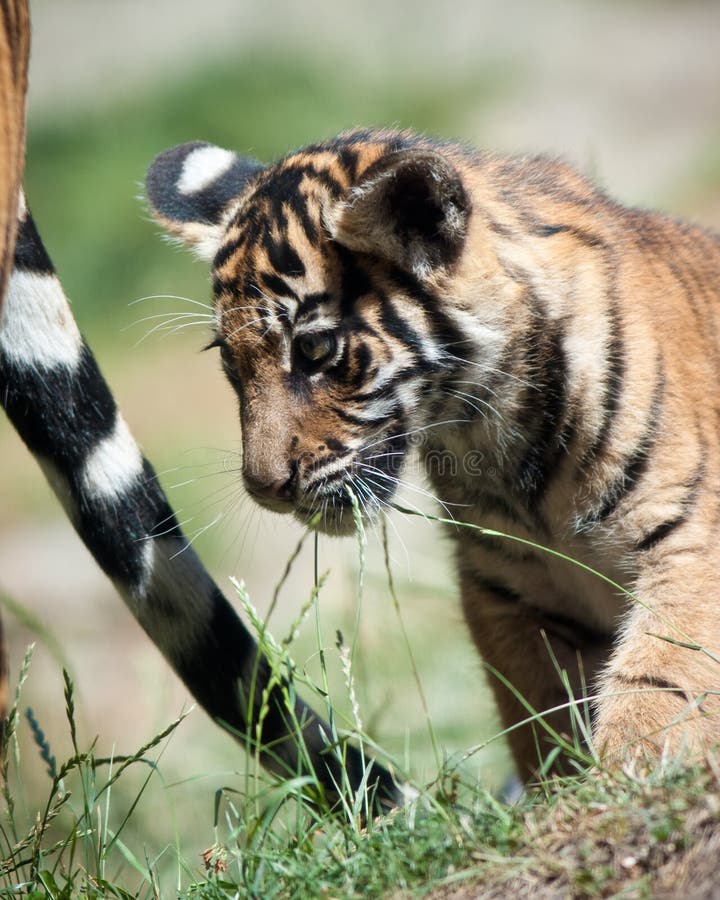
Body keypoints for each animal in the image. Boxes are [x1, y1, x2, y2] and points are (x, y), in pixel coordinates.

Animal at [145, 128, 720, 776]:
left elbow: (660, 681)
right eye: (229, 360)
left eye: (314, 348)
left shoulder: (687, 541)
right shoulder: (507, 586)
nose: (265, 488)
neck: (495, 433)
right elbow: (539, 715)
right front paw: (566, 784)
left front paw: (630, 772)